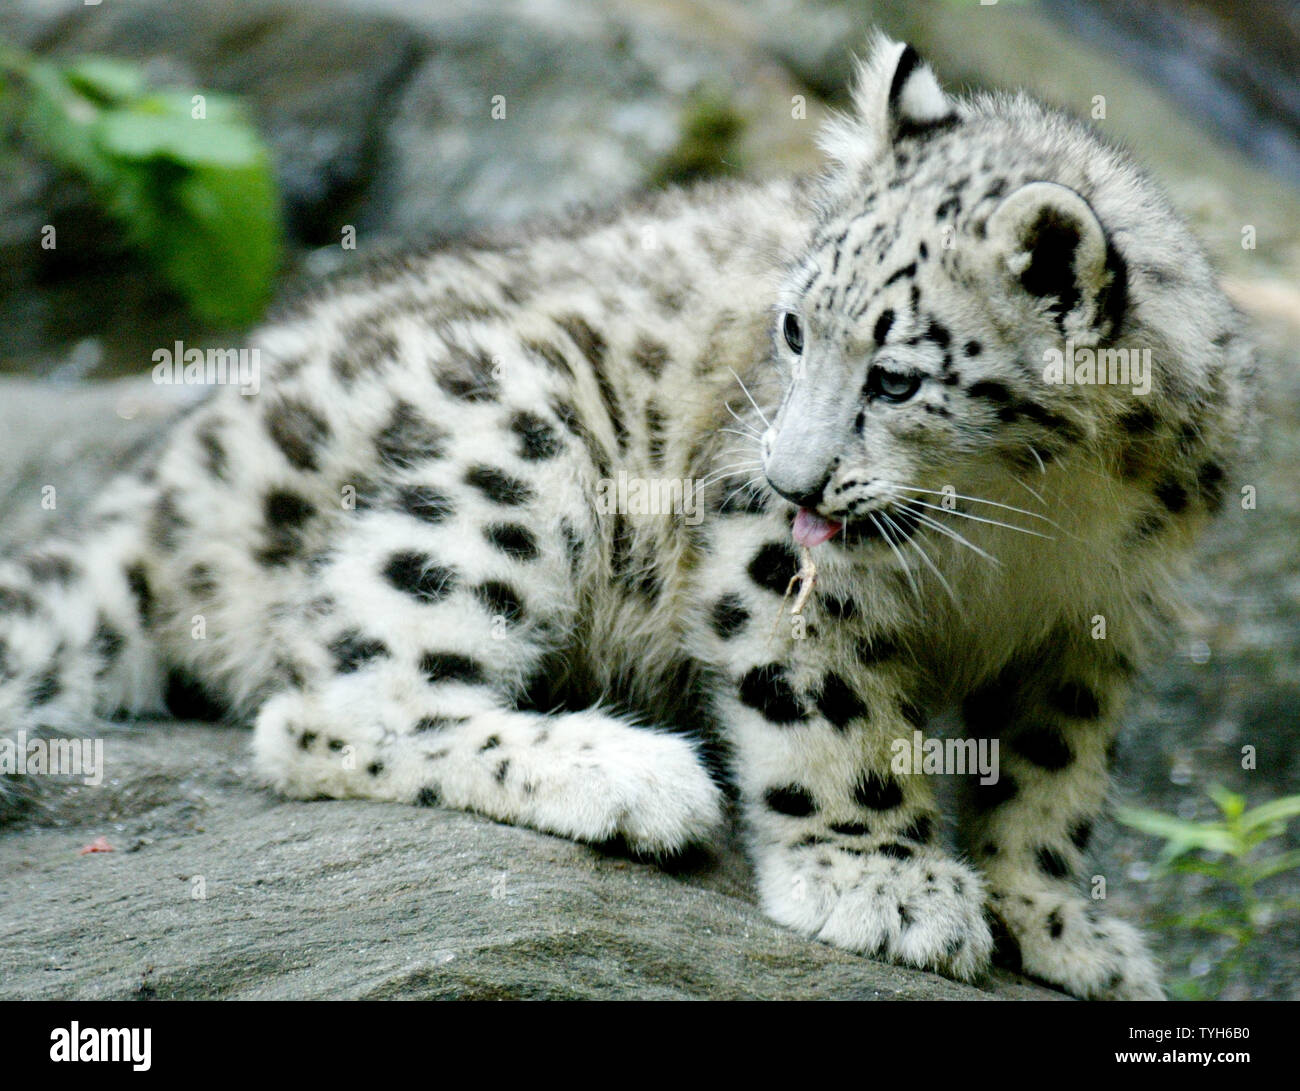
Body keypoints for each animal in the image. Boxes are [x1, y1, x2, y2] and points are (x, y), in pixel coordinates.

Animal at [0, 34, 1253, 1000]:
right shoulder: (772, 558)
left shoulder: (1096, 622)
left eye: (895, 376)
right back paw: (626, 773)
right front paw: (883, 882)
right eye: (792, 330)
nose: (795, 479)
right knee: (330, 706)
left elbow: (1056, 772)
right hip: (512, 444)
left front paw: (1059, 919)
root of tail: (168, 477)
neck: (1037, 516)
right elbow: (830, 712)